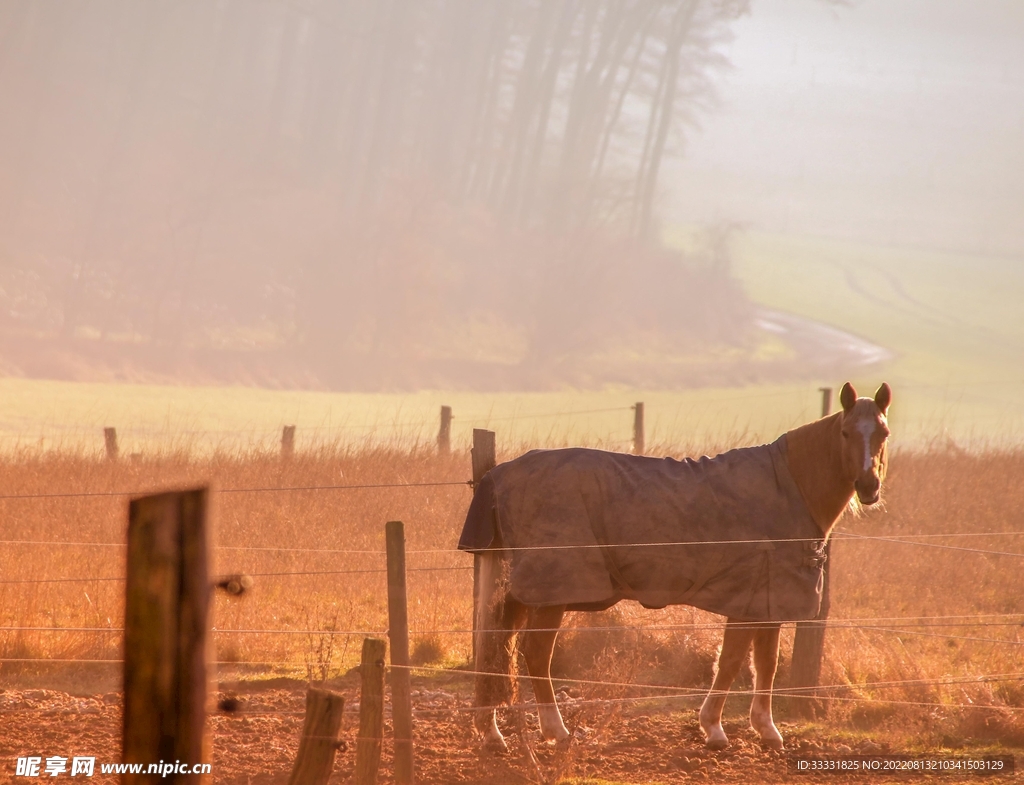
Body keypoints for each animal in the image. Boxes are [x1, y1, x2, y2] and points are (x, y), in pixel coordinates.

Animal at [458, 382, 891, 752]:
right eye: (846, 433)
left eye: (883, 434)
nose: (869, 486)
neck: (788, 487)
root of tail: (500, 473)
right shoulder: (746, 602)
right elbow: (730, 663)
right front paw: (714, 728)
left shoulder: (769, 600)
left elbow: (764, 665)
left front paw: (767, 730)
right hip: (553, 590)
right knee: (534, 654)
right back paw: (555, 730)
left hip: (526, 591)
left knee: (497, 646)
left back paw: (492, 732)